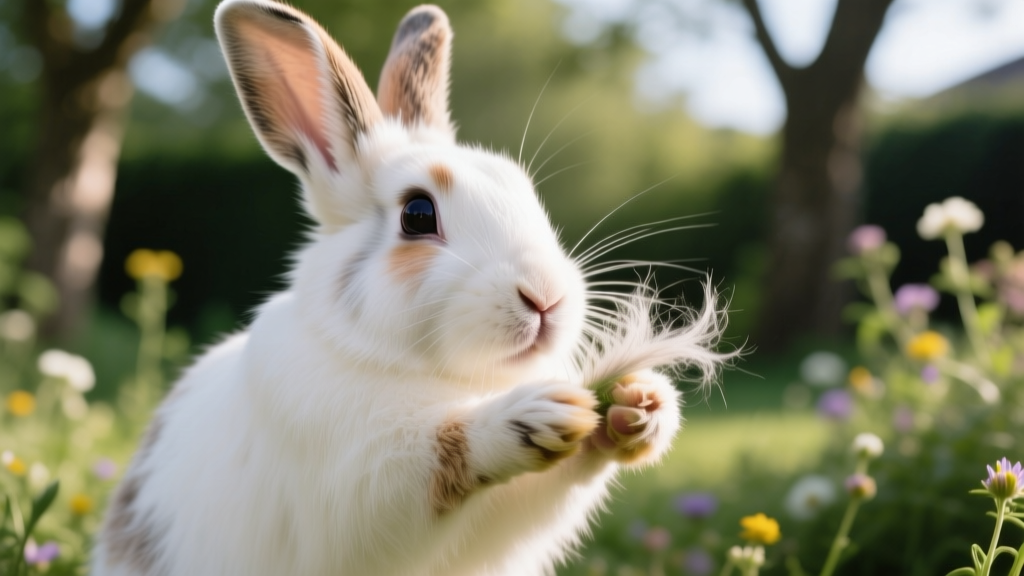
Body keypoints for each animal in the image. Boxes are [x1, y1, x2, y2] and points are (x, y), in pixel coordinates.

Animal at [91, 2, 731, 575]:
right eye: (418, 215)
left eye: (524, 192)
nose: (545, 298)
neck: (430, 374)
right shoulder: (356, 483)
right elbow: (435, 456)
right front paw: (531, 415)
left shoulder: (509, 517)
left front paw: (640, 406)